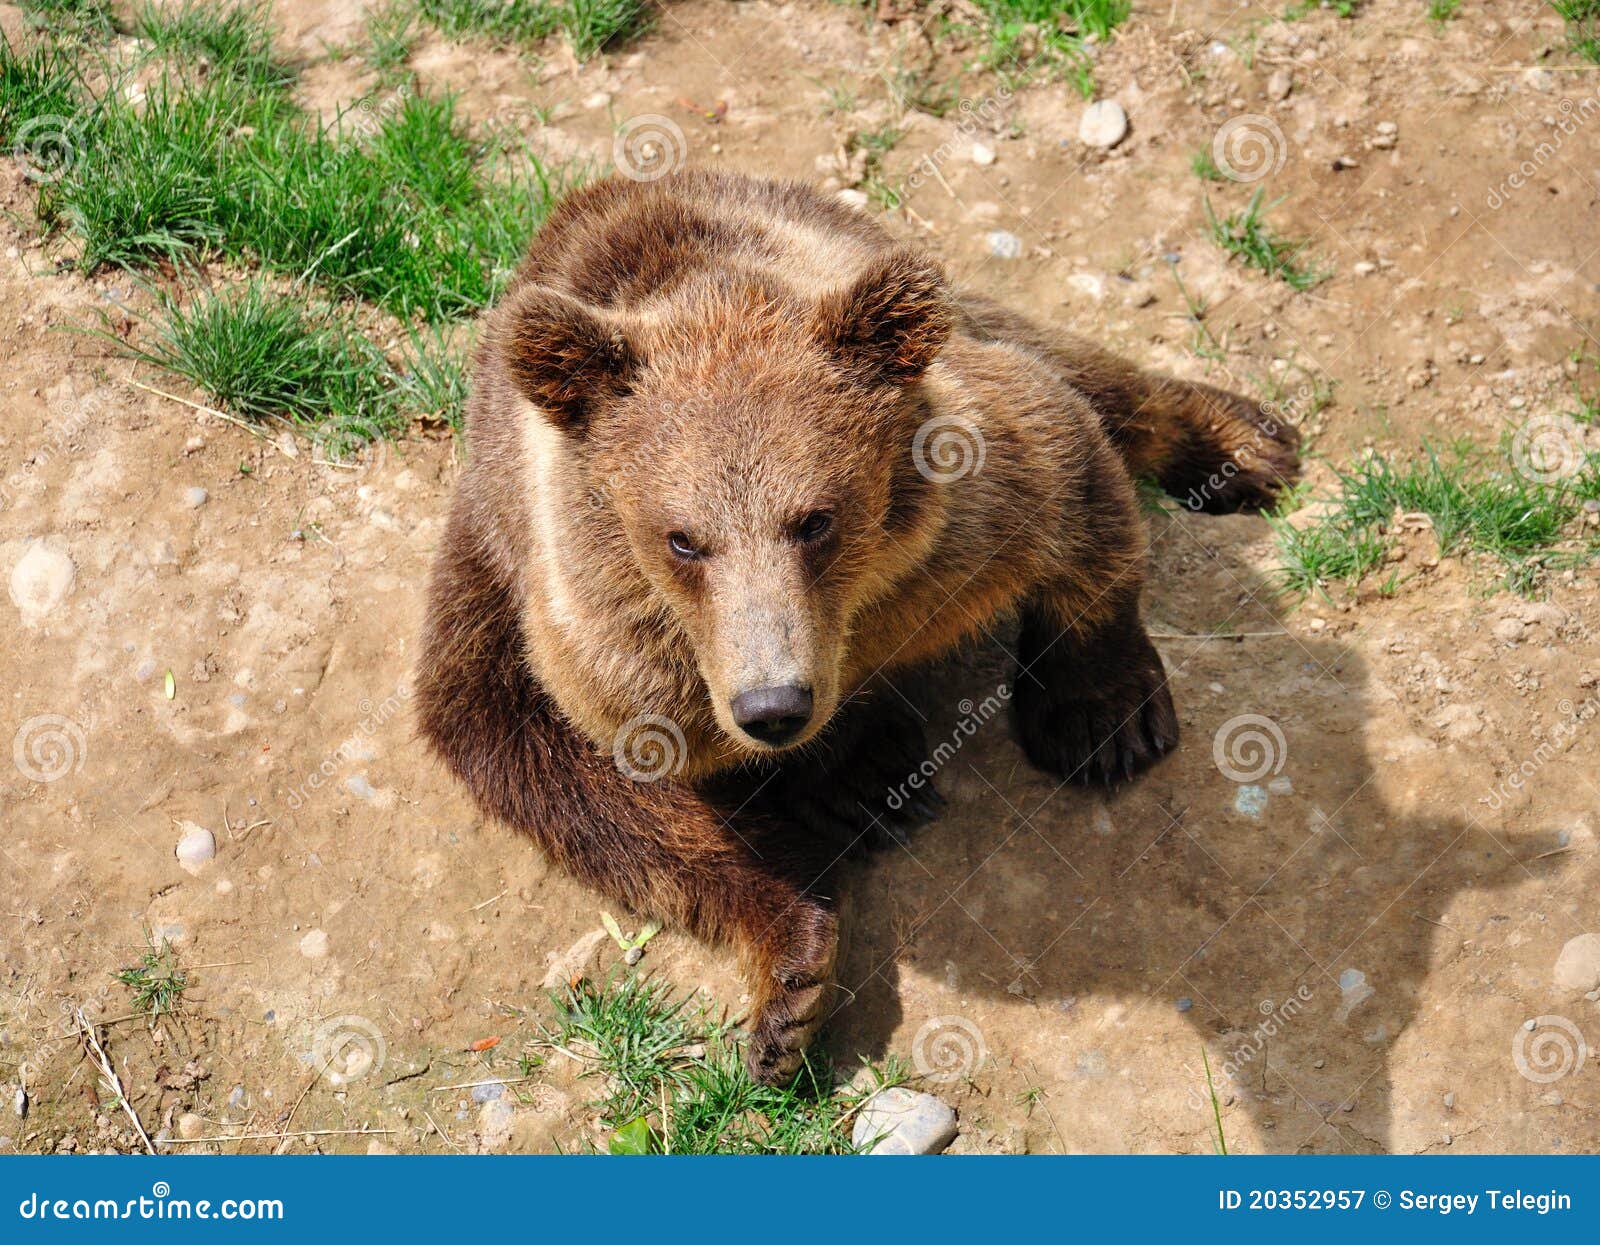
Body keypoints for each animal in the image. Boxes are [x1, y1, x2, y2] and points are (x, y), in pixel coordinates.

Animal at [416, 169, 1298, 1084]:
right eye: (682, 538)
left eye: (815, 519)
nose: (773, 704)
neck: (854, 620)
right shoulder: (616, 653)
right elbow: (640, 791)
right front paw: (860, 785)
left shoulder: (962, 495)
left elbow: (1067, 464)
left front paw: (1100, 719)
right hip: (485, 598)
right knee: (539, 767)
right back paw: (797, 964)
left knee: (1073, 361)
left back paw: (1245, 441)